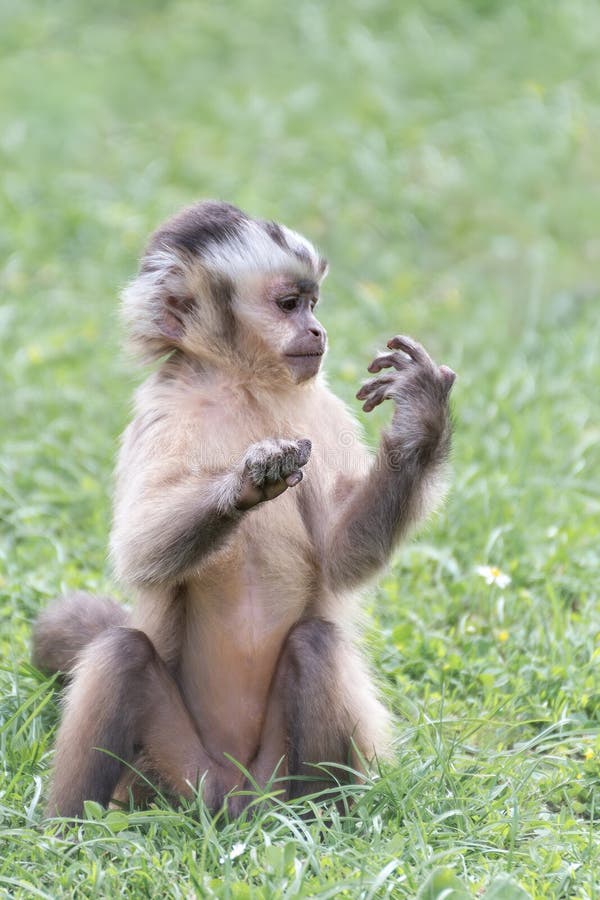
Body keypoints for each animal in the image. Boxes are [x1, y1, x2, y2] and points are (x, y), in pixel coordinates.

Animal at [32, 200, 455, 819]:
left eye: (313, 303)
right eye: (289, 304)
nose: (317, 330)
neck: (241, 385)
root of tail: (235, 802)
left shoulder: (320, 408)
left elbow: (341, 558)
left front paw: (419, 422)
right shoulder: (159, 407)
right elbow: (135, 553)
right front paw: (243, 483)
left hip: (271, 772)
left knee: (315, 644)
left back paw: (320, 819)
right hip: (170, 779)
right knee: (122, 652)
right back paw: (67, 830)